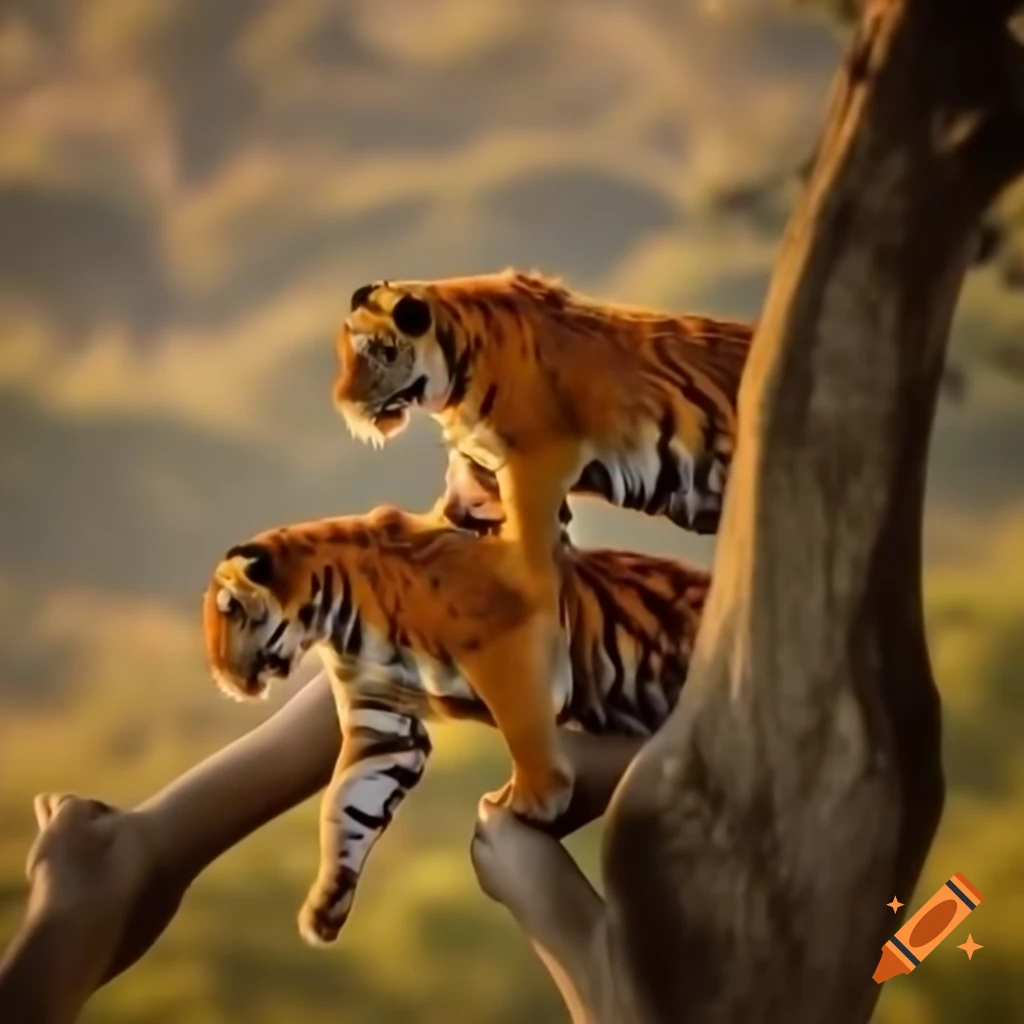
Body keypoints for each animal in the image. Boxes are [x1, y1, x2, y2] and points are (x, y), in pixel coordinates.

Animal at [201, 496, 708, 948]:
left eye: (231, 610)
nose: (222, 677)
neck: (332, 614)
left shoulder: (505, 649)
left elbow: (523, 728)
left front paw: (533, 800)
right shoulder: (382, 726)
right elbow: (345, 807)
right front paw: (324, 908)